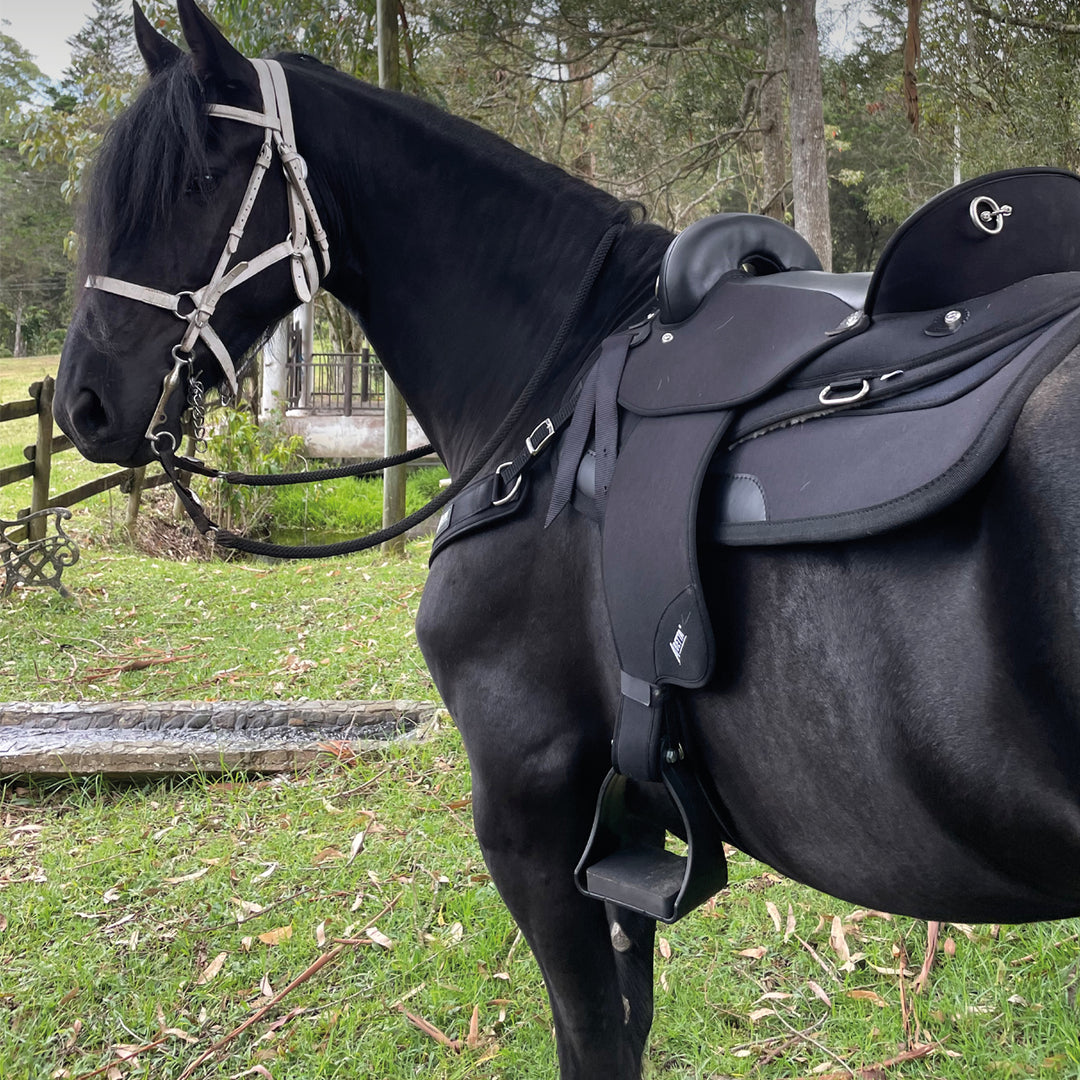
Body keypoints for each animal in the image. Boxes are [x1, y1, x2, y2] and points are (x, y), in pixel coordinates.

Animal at [53, 3, 1080, 1076]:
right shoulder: (615, 827)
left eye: (191, 184)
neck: (550, 381)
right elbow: (624, 1021)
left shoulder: (528, 804)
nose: (81, 402)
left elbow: (589, 1036)